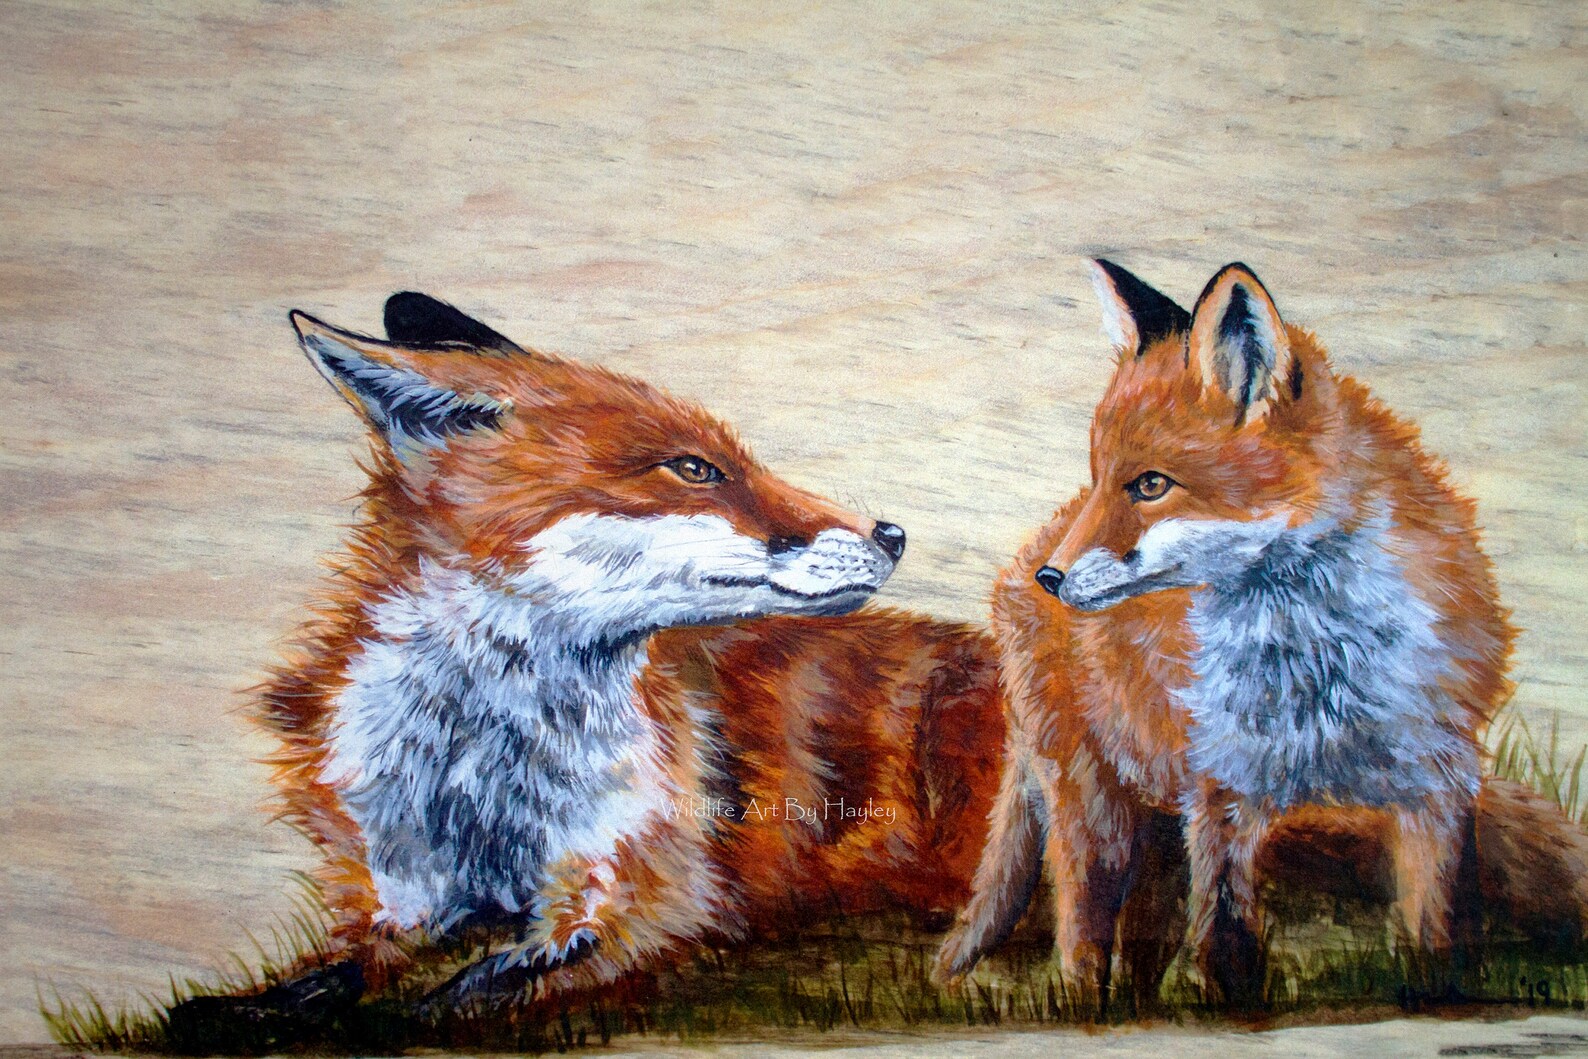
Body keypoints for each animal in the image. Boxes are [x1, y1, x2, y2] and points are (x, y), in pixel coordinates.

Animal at [206, 293, 1004, 1018]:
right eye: (695, 468)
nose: (893, 535)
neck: (483, 773)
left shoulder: (650, 888)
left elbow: (475, 990)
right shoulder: (394, 880)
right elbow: (329, 976)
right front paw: (262, 1007)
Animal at [936, 259, 1588, 1012]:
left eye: (1150, 484)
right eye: (1100, 477)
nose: (1053, 577)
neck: (1321, 665)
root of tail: (1023, 555)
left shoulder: (1436, 785)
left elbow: (1440, 940)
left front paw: (1436, 999)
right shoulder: (1225, 791)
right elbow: (1227, 947)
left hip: (1159, 827)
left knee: (1142, 948)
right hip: (1099, 814)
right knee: (1083, 940)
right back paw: (1084, 1010)